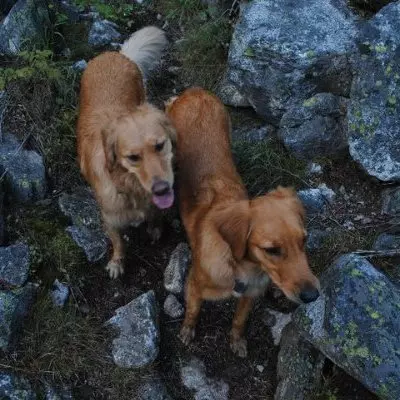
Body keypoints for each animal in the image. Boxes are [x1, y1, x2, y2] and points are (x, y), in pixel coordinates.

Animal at [78, 25, 177, 278]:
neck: (130, 186)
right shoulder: (110, 217)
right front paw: (117, 262)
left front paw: (155, 228)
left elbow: (154, 216)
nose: (162, 189)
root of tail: (115, 54)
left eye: (160, 145)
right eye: (133, 158)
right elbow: (118, 242)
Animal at [165, 87, 318, 356]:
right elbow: (193, 311)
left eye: (304, 240)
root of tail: (195, 91)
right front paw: (187, 331)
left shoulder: (250, 295)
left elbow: (239, 320)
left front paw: (237, 341)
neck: (241, 267)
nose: (313, 296)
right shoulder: (194, 286)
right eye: (272, 250)